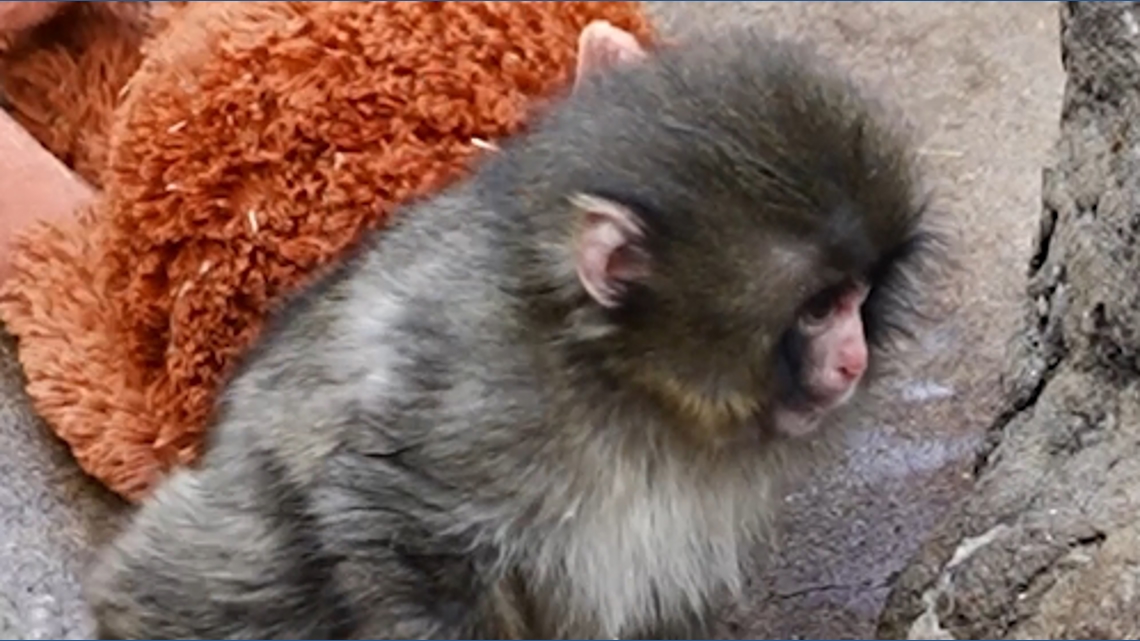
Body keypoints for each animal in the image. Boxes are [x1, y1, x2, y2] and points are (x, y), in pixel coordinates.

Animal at [84, 20, 942, 640]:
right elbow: (384, 511)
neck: (625, 388)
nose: (852, 358)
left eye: (859, 296)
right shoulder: (471, 401)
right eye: (818, 308)